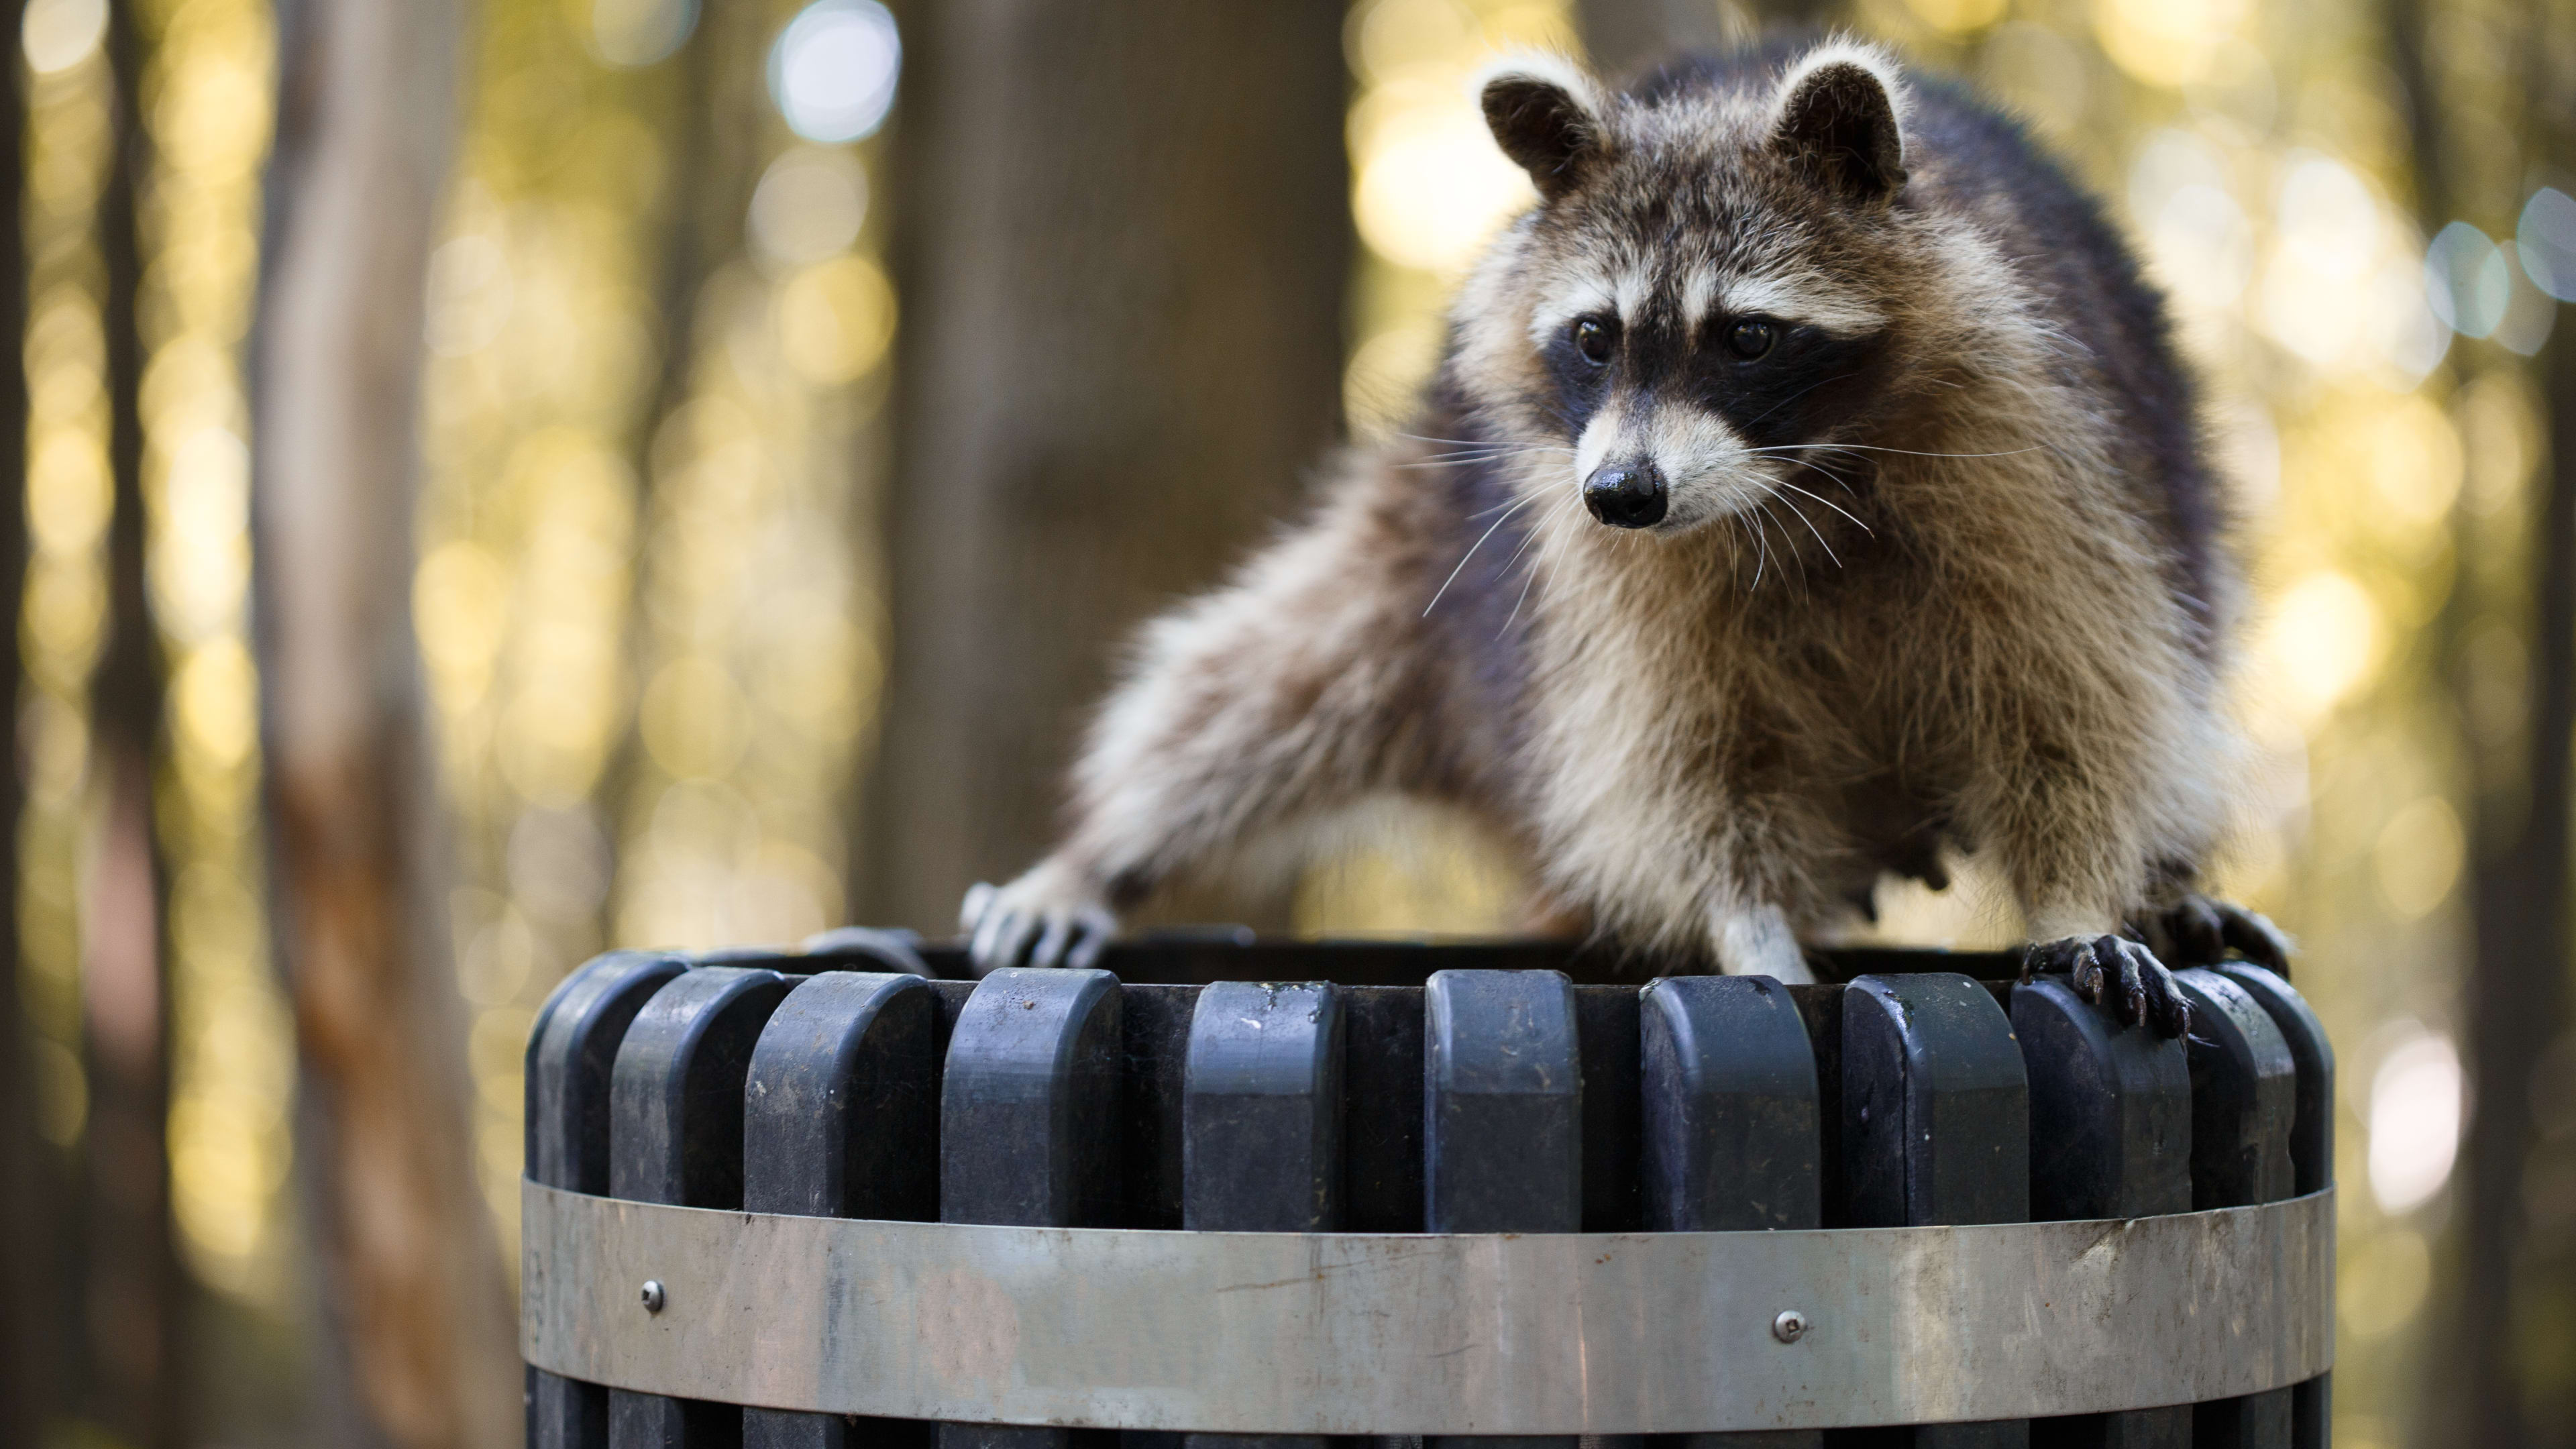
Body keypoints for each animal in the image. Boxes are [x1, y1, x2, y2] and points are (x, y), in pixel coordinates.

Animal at [957, 37, 2288, 1033]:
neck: (1793, 478)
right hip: (1434, 549)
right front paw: (1750, 927)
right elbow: (1678, 759)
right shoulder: (1593, 559)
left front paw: (2077, 899)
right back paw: (1107, 851)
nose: (1624, 493)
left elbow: (2076, 703)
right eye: (1594, 336)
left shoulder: (2045, 473)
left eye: (1746, 337)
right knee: (1271, 683)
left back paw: (2169, 887)